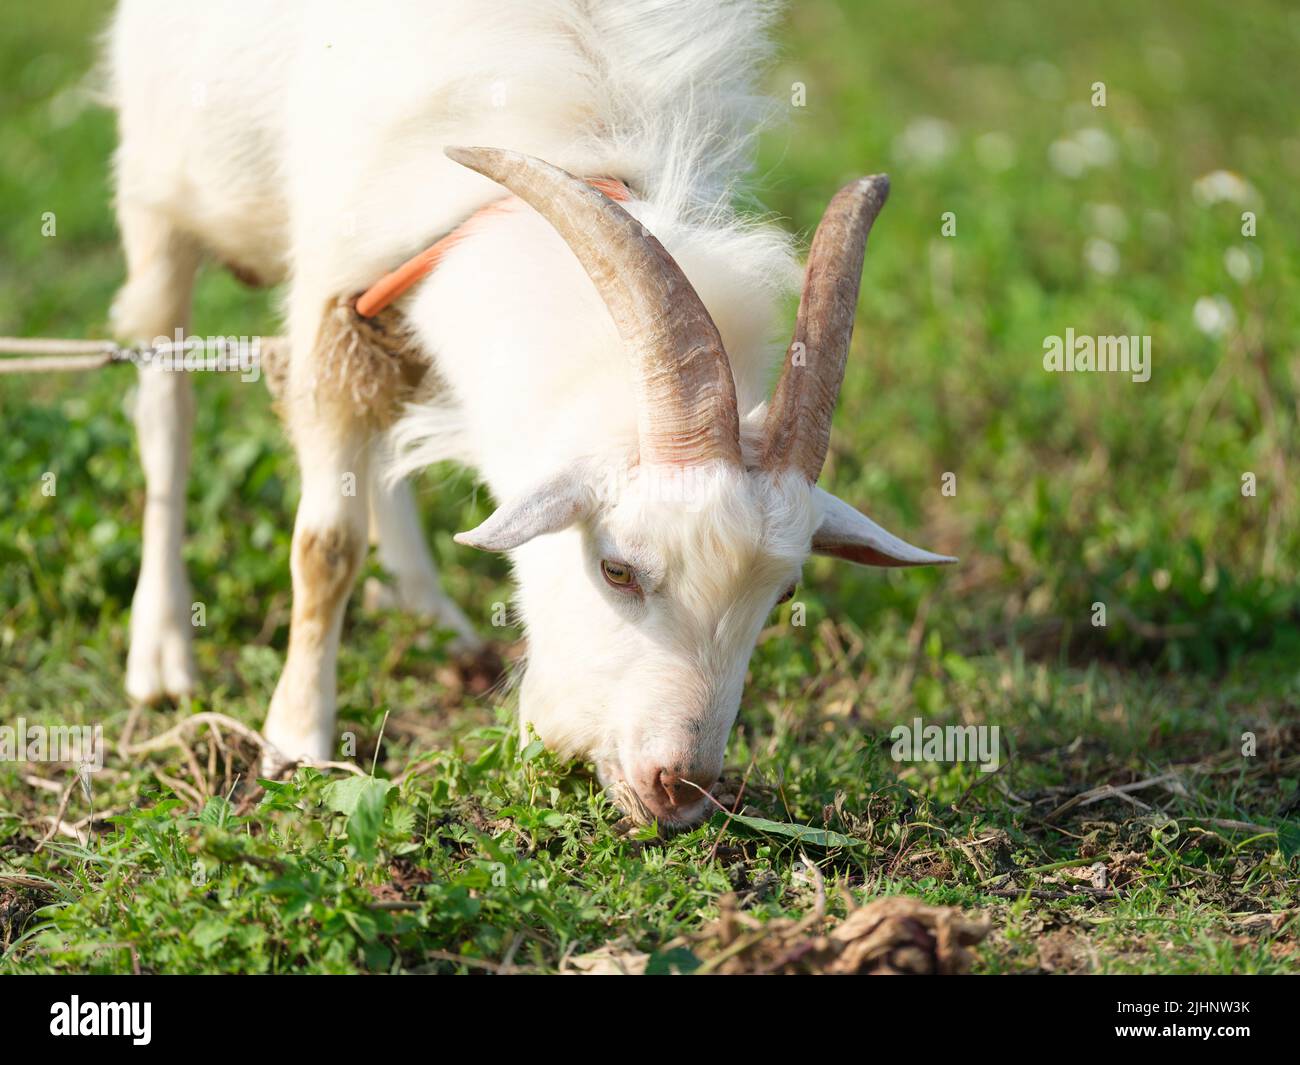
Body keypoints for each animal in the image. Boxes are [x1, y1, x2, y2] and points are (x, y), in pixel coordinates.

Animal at [107, 0, 952, 826]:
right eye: (617, 568)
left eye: (783, 595)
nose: (679, 790)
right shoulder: (332, 299)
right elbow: (326, 546)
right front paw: (295, 740)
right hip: (157, 191)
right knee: (166, 410)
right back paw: (163, 649)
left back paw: (428, 611)